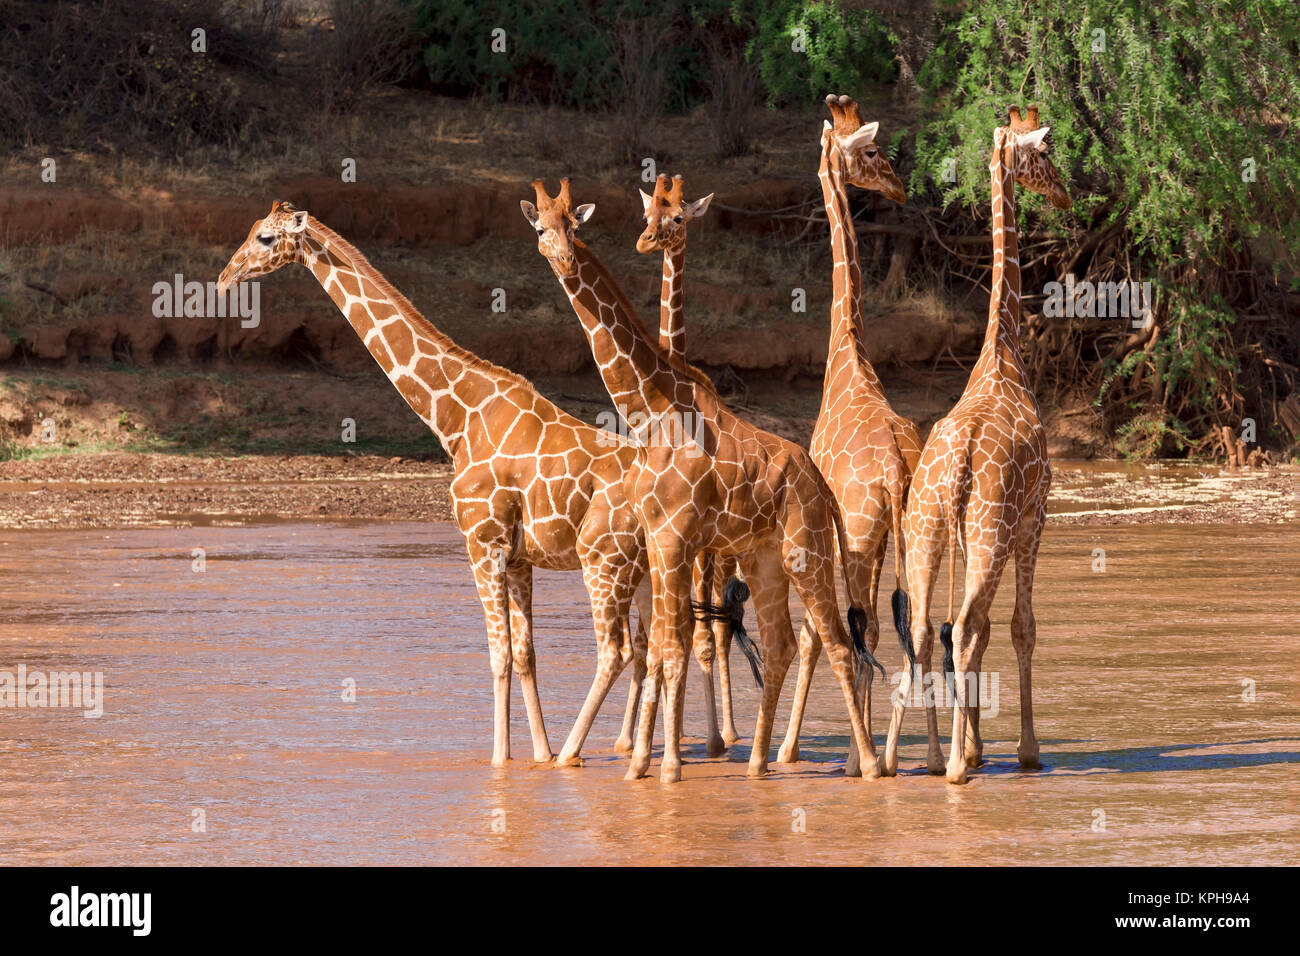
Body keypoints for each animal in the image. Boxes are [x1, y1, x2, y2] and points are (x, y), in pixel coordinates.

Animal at [217, 201, 659, 769]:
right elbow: (525, 654)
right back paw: (633, 755)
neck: (456, 416)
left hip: (603, 558)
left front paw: (501, 761)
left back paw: (574, 755)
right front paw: (536, 755)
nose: (225, 278)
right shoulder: (518, 555)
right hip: (643, 569)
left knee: (617, 649)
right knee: (657, 646)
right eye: (253, 231)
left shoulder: (481, 541)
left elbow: (497, 655)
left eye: (266, 239)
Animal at [522, 178, 884, 783]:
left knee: (835, 641)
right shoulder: (658, 538)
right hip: (764, 559)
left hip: (804, 551)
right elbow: (665, 644)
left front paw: (666, 767)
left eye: (573, 225)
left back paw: (871, 767)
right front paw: (641, 763)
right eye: (541, 228)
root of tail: (822, 489)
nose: (566, 260)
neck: (653, 410)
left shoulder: (675, 539)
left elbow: (674, 646)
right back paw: (757, 763)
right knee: (784, 643)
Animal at [883, 106, 1069, 784]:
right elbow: (1019, 627)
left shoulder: (963, 538)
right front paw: (1022, 749)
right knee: (960, 628)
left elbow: (978, 630)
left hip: (928, 531)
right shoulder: (1037, 515)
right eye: (1045, 154)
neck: (1002, 350)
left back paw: (901, 759)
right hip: (989, 533)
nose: (1064, 194)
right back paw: (959, 767)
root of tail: (957, 469)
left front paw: (978, 743)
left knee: (923, 626)